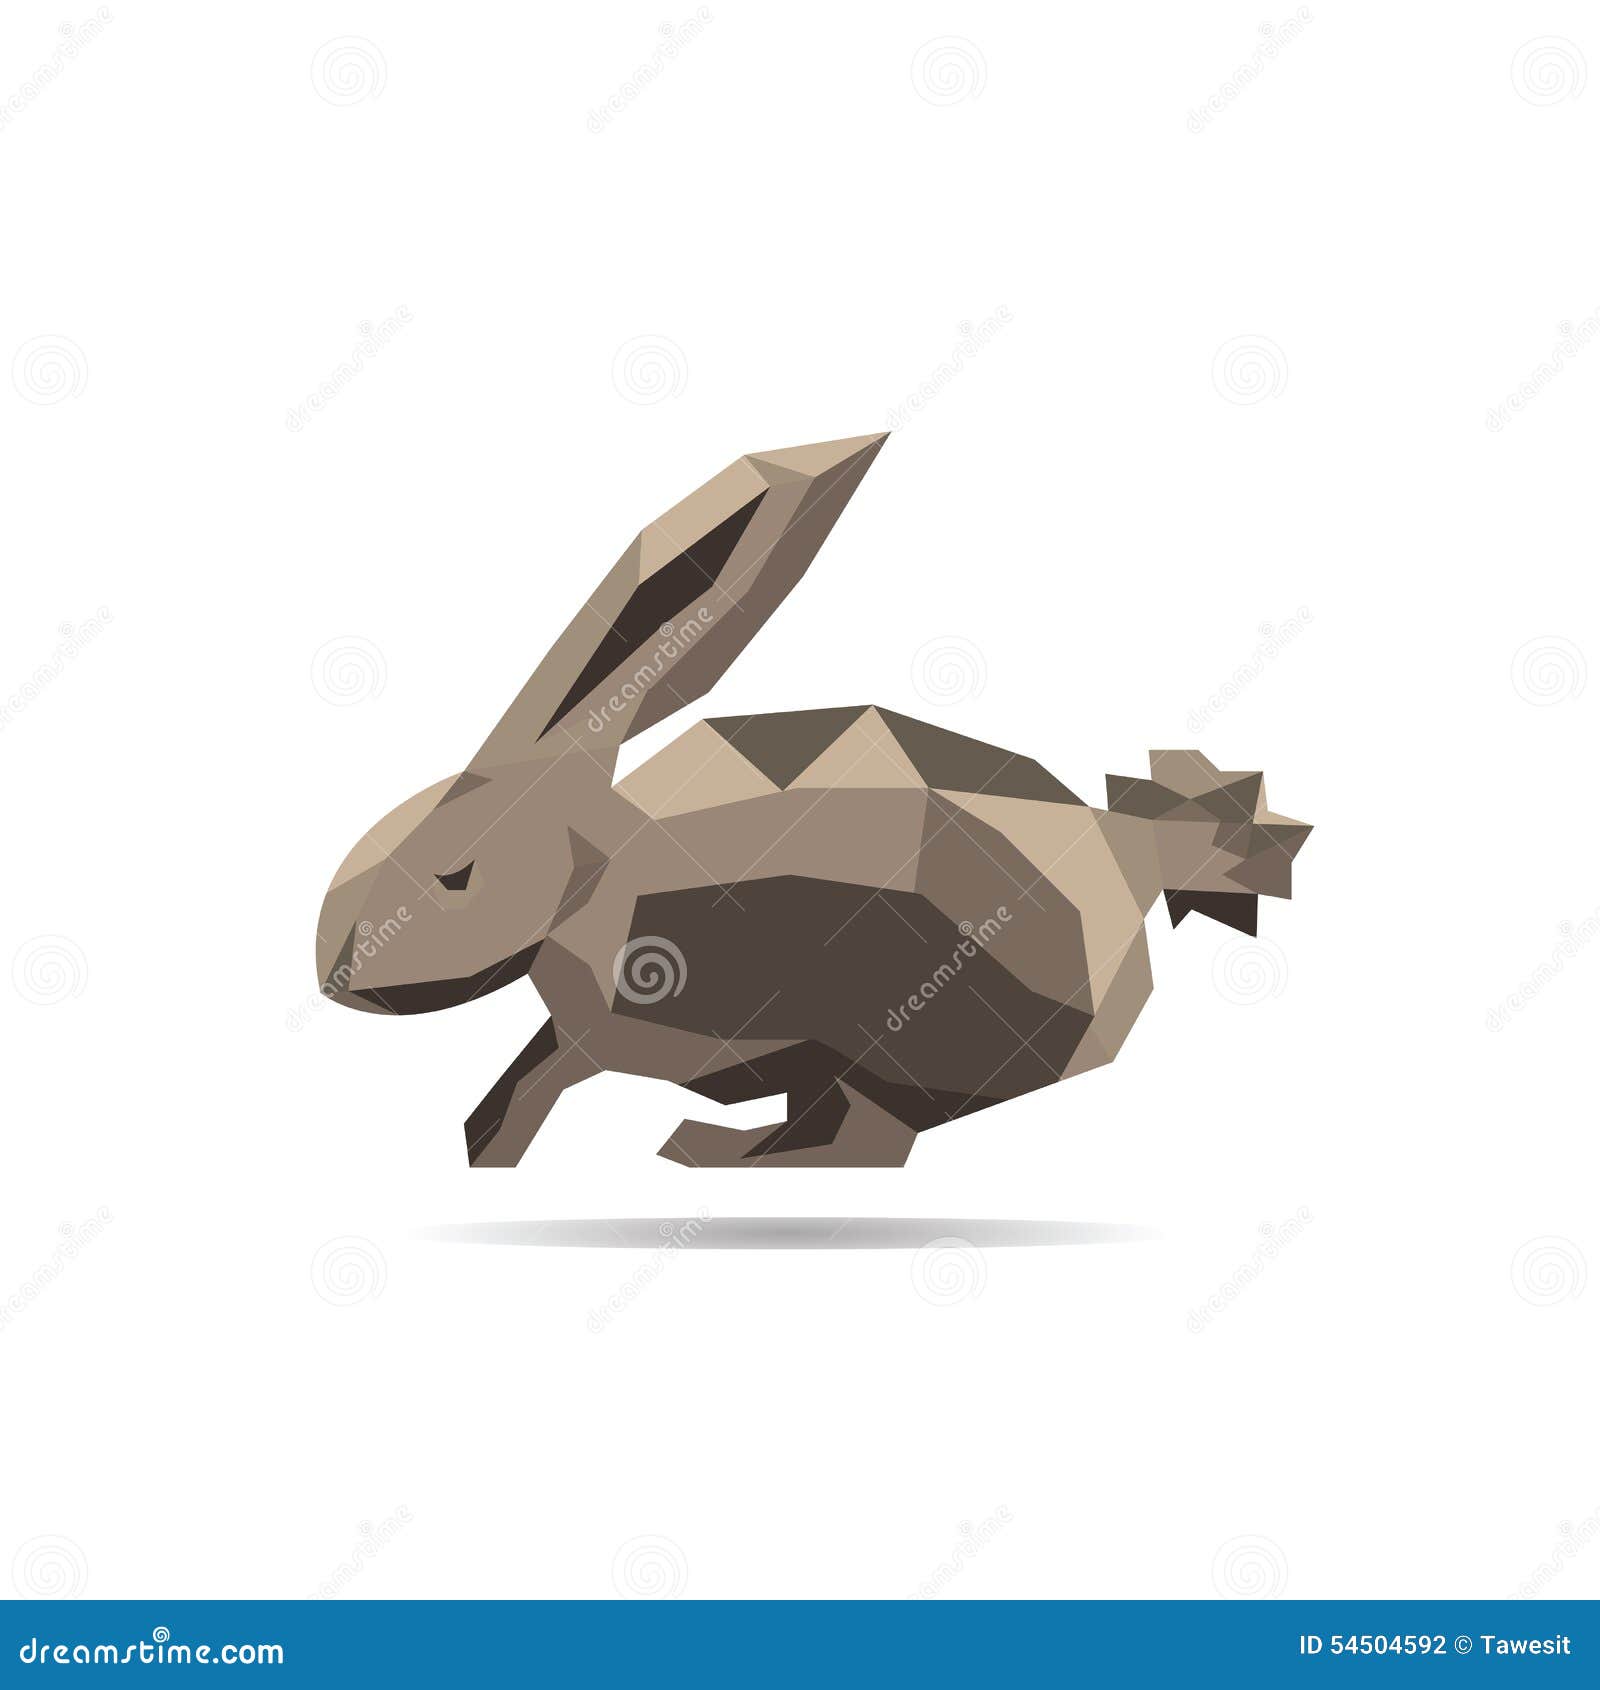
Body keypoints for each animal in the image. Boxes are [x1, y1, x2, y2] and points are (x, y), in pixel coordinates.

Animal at [316, 433, 1311, 1168]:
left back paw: (711, 1150)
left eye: (456, 876)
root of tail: (1134, 848)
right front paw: (480, 1146)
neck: (597, 876)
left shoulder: (630, 1030)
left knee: (872, 1139)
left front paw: (494, 1152)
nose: (336, 979)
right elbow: (527, 1067)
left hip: (900, 1039)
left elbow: (551, 1074)